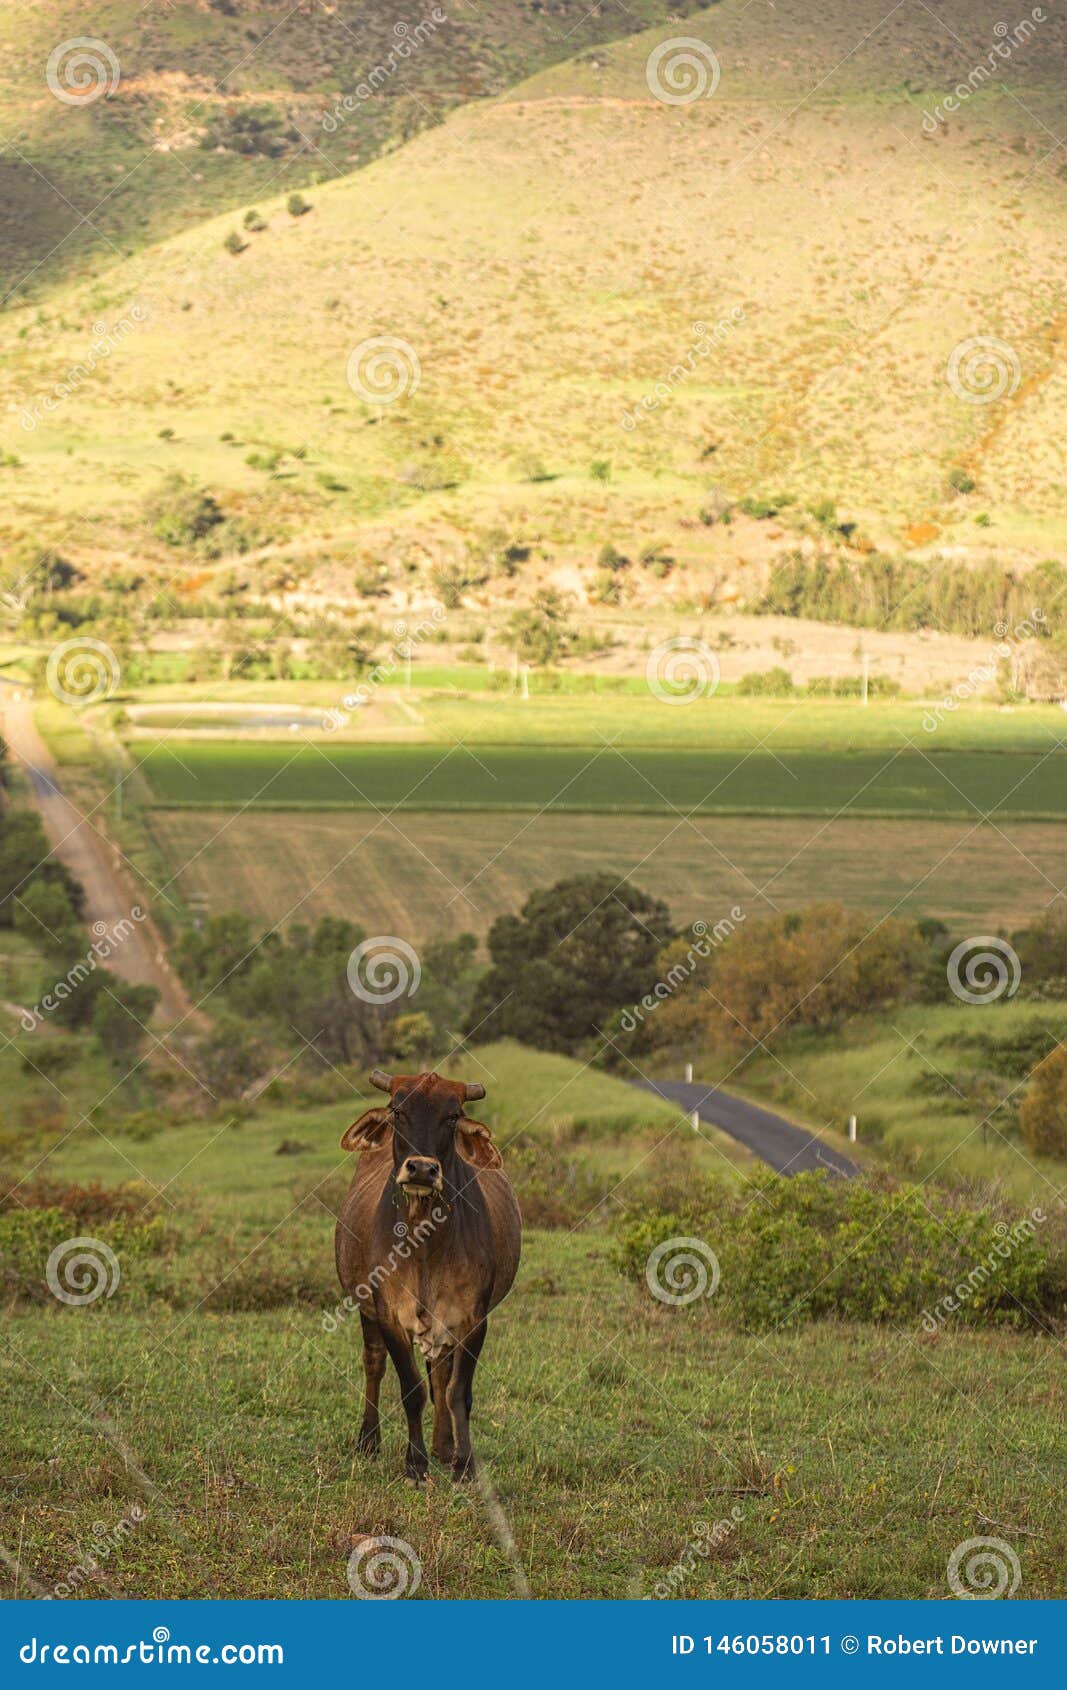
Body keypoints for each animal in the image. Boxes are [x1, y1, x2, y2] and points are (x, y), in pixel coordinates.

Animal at [335, 1067, 521, 1483]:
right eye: (397, 1109)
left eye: (452, 1117)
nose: (421, 1169)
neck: (424, 1246)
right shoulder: (389, 1315)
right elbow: (411, 1390)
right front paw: (415, 1464)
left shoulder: (473, 1319)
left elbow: (456, 1391)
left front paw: (463, 1464)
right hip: (367, 1310)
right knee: (374, 1364)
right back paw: (368, 1440)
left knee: (441, 1374)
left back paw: (443, 1445)